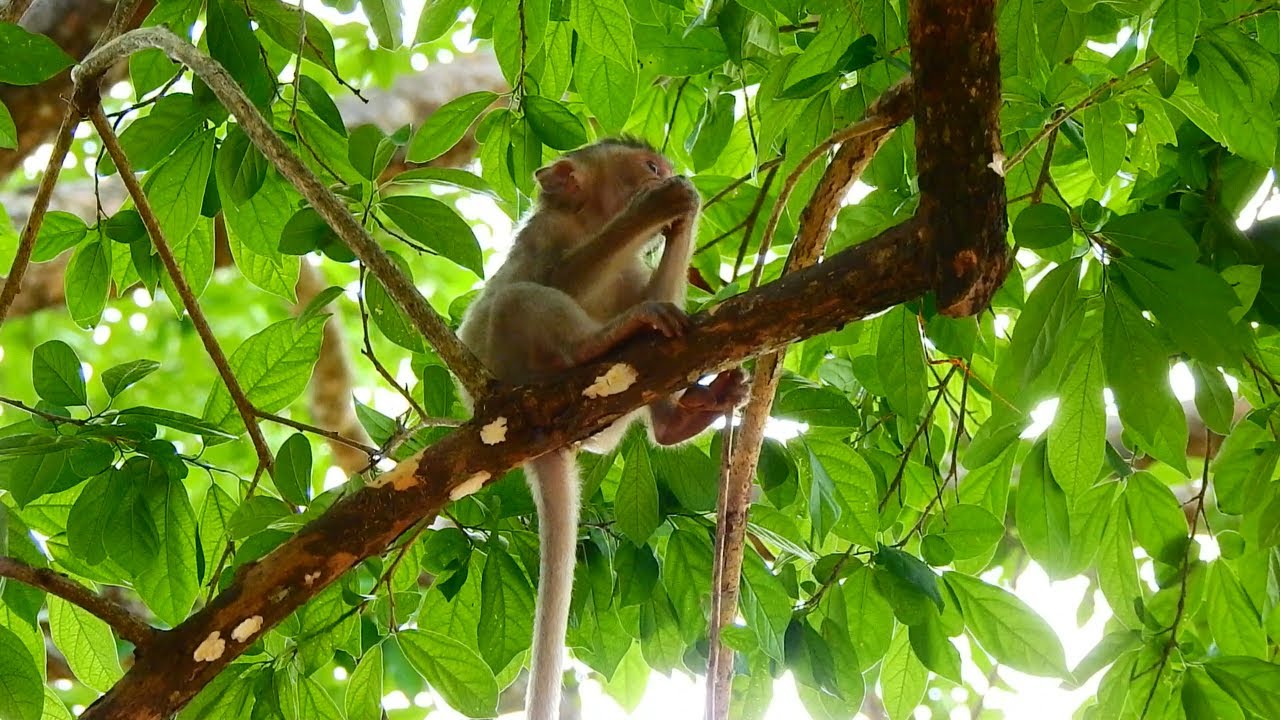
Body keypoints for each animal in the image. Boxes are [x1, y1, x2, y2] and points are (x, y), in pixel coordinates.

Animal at [457, 138, 747, 720]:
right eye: (649, 166)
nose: (666, 174)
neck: (584, 221)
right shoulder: (544, 235)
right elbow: (554, 279)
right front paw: (656, 206)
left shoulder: (633, 271)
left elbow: (664, 308)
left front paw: (684, 217)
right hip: (508, 367)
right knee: (517, 299)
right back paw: (591, 345)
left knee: (648, 348)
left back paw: (678, 418)